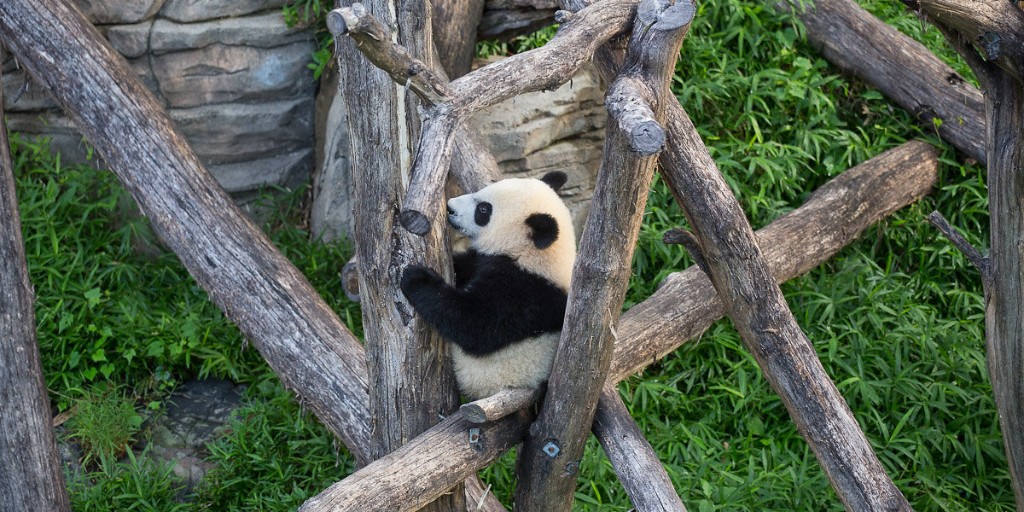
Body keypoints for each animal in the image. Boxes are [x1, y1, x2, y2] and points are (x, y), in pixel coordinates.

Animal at [399, 171, 577, 400]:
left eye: (483, 210)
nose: (450, 207)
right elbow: (468, 264)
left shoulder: (525, 294)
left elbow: (473, 324)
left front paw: (416, 278)